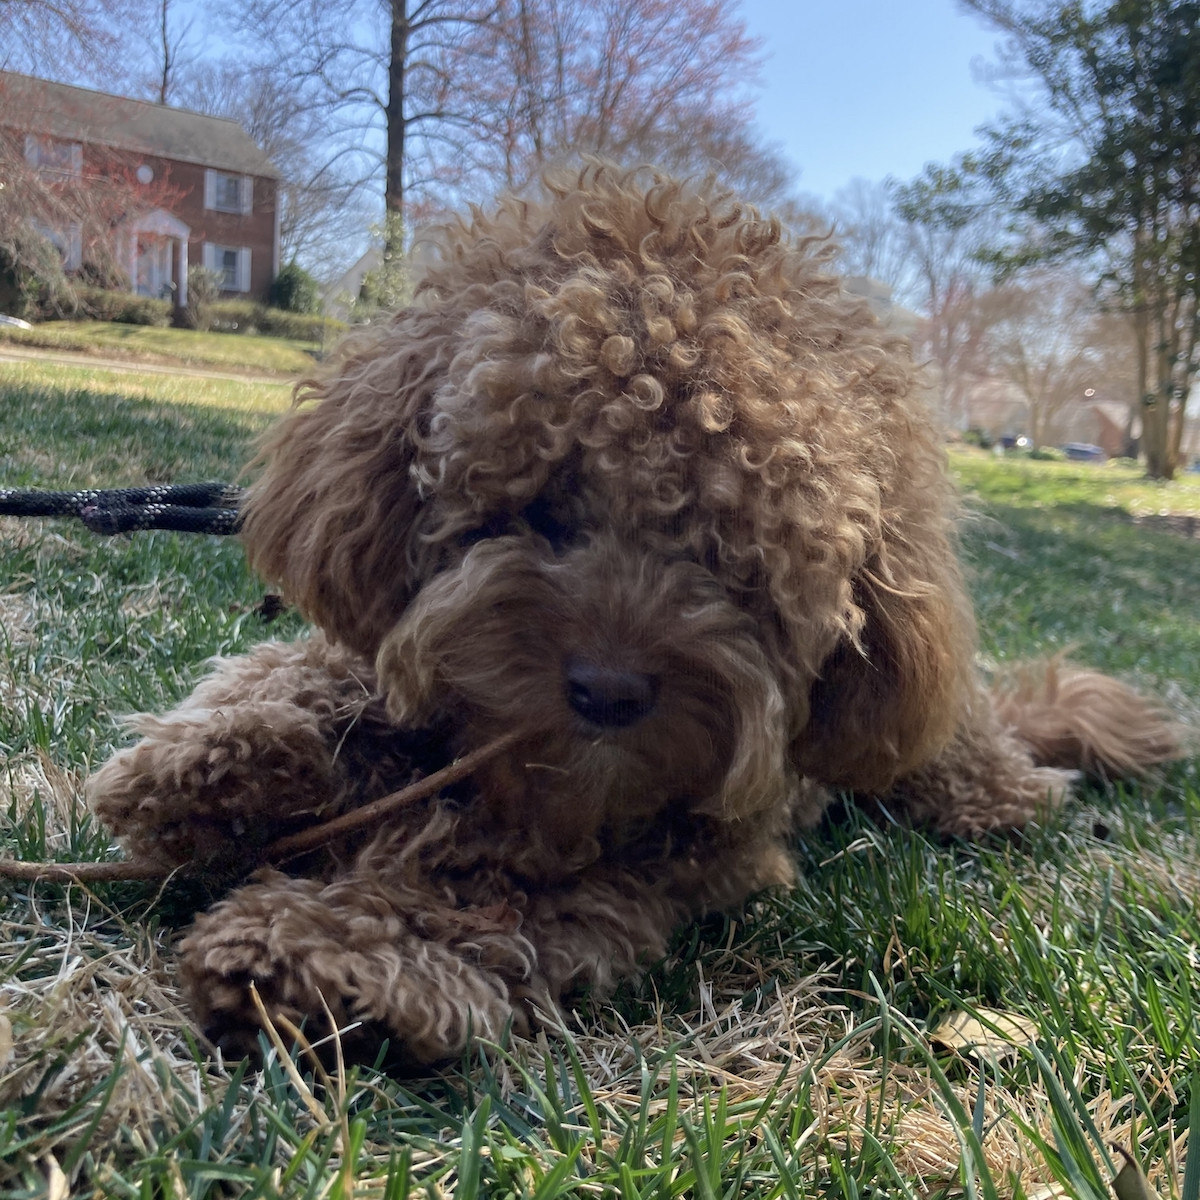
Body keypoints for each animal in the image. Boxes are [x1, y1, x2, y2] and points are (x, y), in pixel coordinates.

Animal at [87, 164, 1180, 1064]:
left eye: (736, 564)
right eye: (544, 507)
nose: (607, 692)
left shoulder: (670, 852)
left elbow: (490, 893)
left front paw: (328, 953)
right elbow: (322, 676)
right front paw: (216, 765)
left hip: (944, 758)